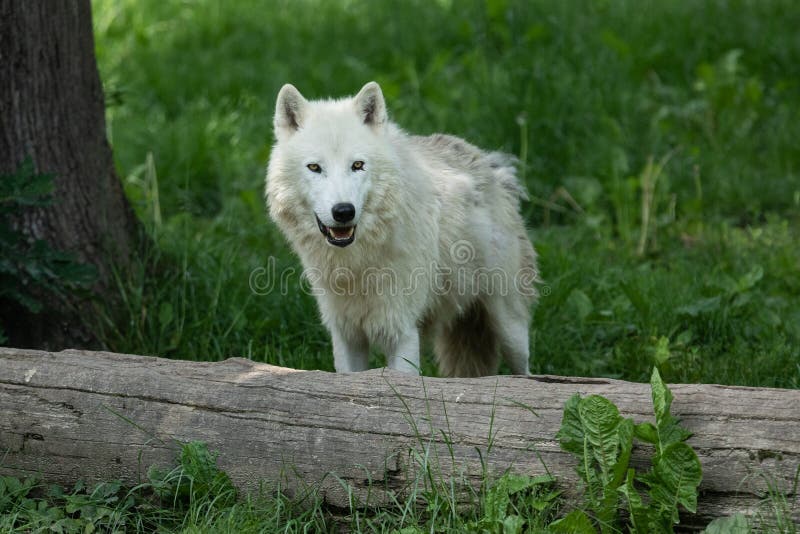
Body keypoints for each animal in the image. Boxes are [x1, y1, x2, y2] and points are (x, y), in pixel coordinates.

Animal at [266, 82, 538, 377]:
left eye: (358, 165)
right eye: (314, 167)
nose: (344, 211)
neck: (358, 264)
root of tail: (489, 162)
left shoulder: (402, 330)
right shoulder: (346, 334)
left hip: (510, 328)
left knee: (525, 372)